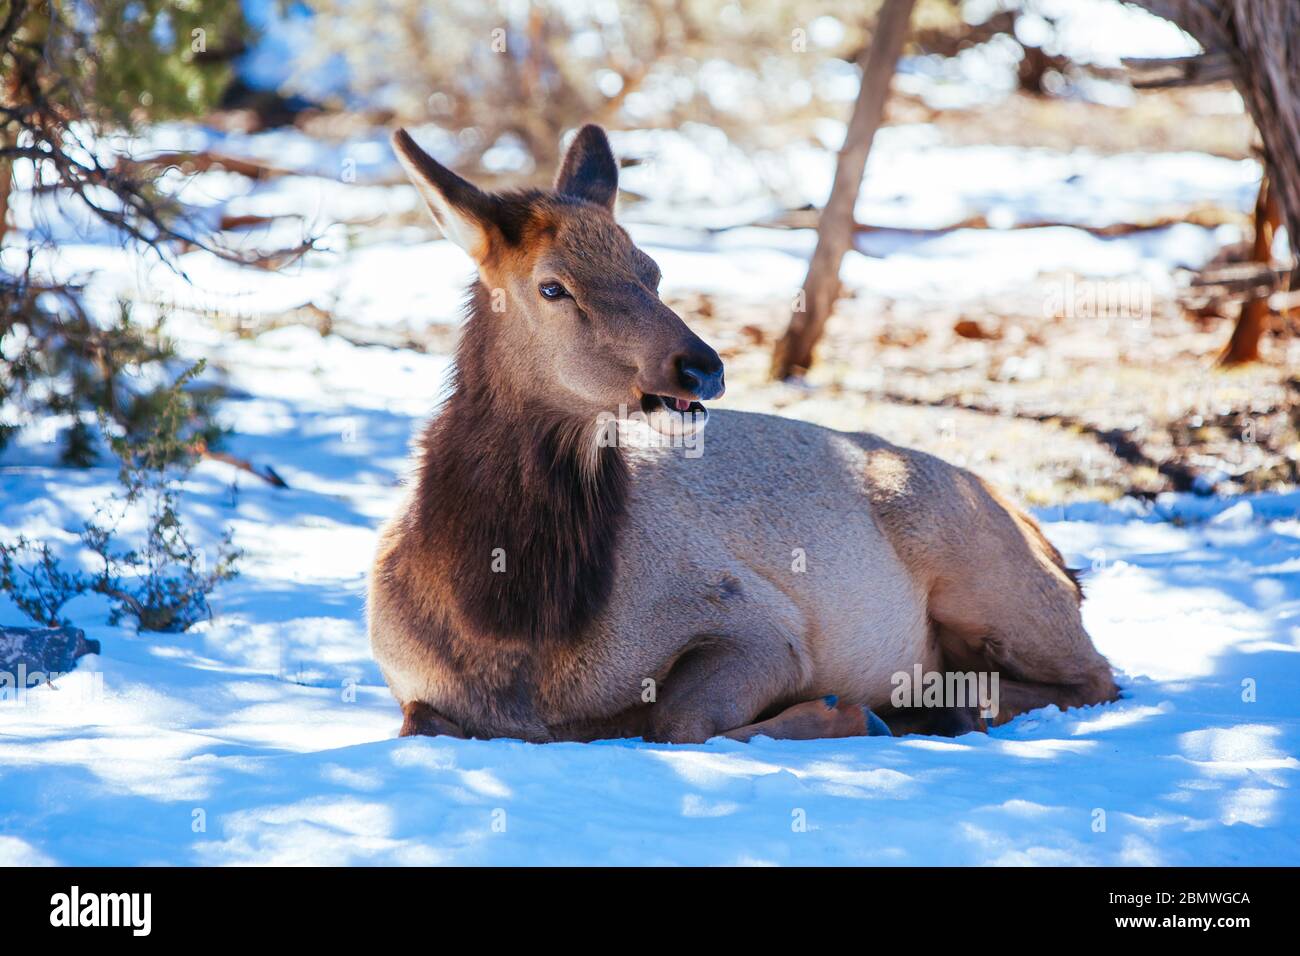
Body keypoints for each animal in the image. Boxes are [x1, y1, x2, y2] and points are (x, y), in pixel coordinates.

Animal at [368, 123, 1119, 744]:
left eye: (652, 272)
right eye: (553, 287)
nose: (703, 365)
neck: (516, 634)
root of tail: (1053, 550)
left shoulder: (759, 621)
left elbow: (678, 720)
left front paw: (843, 713)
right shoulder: (413, 686)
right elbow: (420, 720)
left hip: (991, 584)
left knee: (1098, 676)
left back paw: (931, 706)